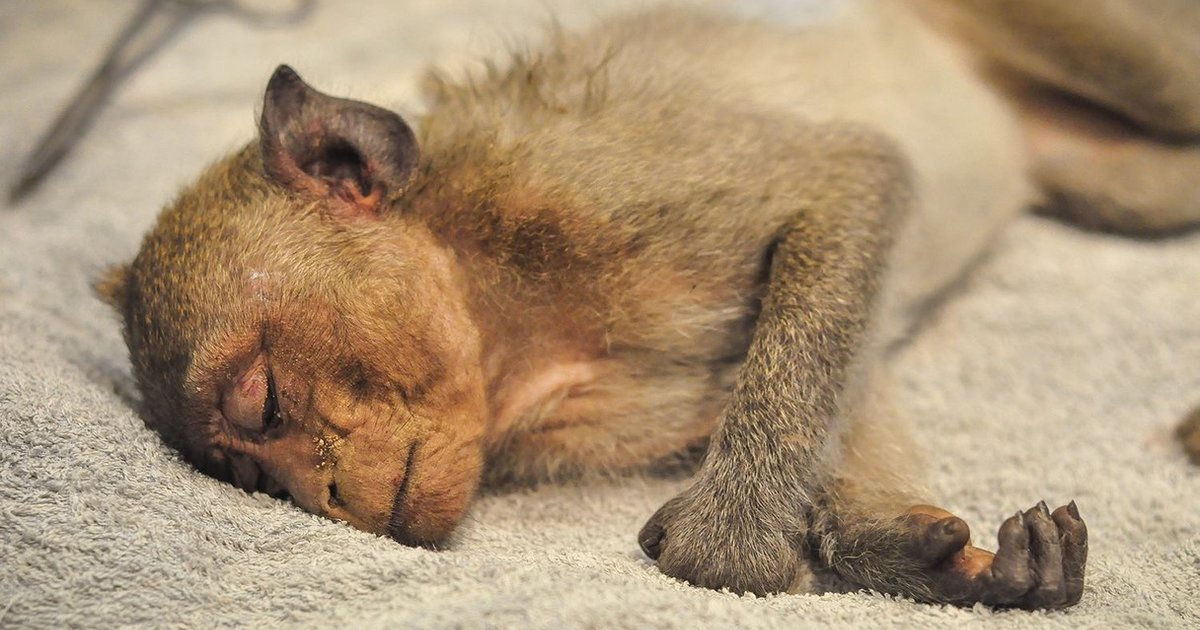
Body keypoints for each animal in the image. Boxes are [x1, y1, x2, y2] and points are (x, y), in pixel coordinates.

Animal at [95, 0, 1200, 609]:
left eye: (264, 401)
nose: (314, 495)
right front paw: (935, 559)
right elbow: (857, 364)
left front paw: (731, 543)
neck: (505, 328)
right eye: (253, 478)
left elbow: (852, 181)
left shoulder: (586, 190)